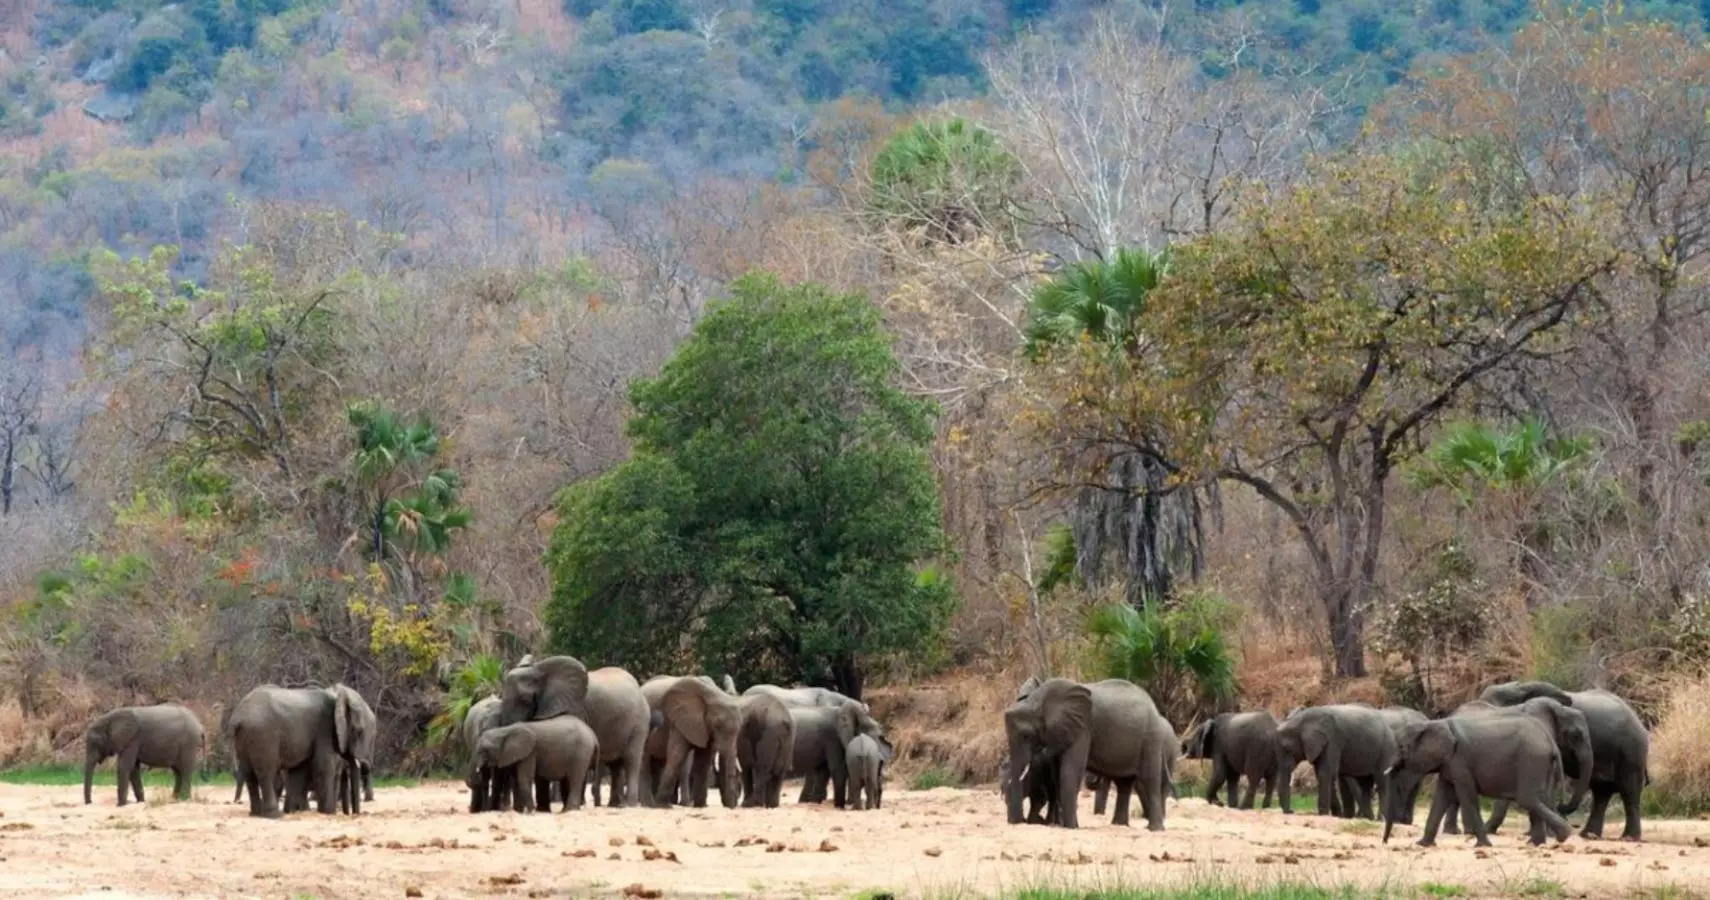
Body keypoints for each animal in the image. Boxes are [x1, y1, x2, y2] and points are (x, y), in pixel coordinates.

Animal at [229, 687, 372, 821]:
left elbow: (298, 772)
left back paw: (256, 814)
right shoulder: (325, 729)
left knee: (249, 774)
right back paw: (275, 815)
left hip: (245, 737)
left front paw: (298, 812)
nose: (354, 814)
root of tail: (238, 717)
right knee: (266, 773)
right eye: (359, 731)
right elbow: (323, 766)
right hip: (263, 735)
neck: (338, 695)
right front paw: (327, 813)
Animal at [998, 677, 1176, 831]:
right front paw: (1063, 825)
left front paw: (1071, 827)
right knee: (1123, 783)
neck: (1039, 700)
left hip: (1151, 738)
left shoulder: (1082, 728)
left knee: (1149, 779)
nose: (1018, 822)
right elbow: (1057, 775)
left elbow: (1070, 771)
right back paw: (1119, 825)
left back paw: (1154, 829)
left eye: (1027, 735)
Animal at [1381, 715, 1566, 852]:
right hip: (1540, 763)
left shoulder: (1459, 760)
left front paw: (1483, 846)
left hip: (1532, 759)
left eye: (1402, 748)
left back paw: (1563, 835)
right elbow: (1442, 797)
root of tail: (1551, 742)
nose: (1385, 843)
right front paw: (1422, 844)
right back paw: (1537, 844)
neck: (1434, 723)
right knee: (1539, 799)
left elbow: (1466, 796)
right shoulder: (1448, 764)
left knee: (1528, 798)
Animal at [1477, 684, 1648, 848]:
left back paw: (1629, 838)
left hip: (1632, 751)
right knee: (1602, 791)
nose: (1561, 806)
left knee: (1629, 791)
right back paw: (1589, 835)